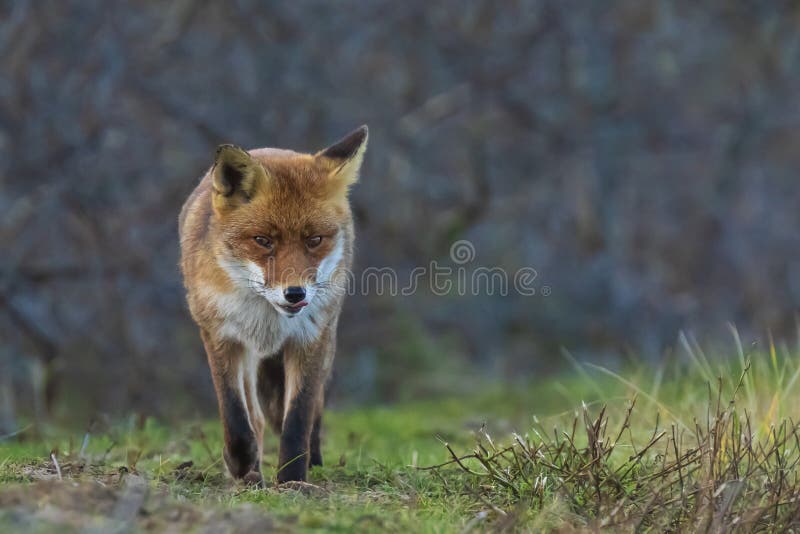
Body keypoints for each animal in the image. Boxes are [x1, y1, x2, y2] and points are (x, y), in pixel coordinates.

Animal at [178, 126, 368, 484]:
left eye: (314, 240)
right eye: (263, 241)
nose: (295, 294)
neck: (267, 318)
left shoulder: (309, 339)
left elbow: (298, 419)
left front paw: (292, 479)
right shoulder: (220, 336)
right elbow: (236, 415)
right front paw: (241, 463)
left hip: (326, 344)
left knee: (312, 412)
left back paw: (313, 461)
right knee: (256, 416)